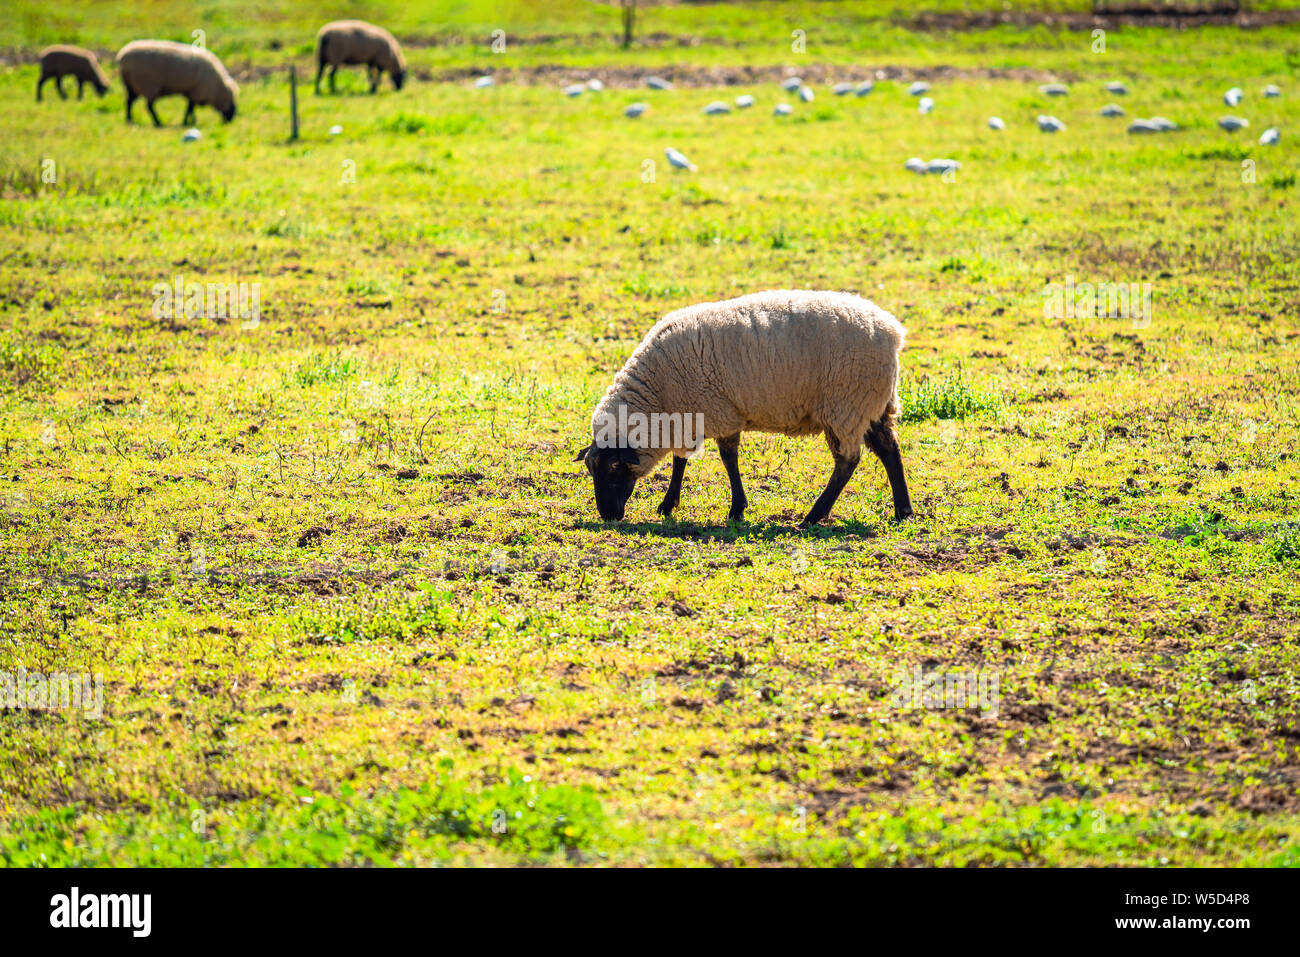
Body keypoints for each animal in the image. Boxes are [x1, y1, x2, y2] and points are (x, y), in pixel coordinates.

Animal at [574, 290, 913, 527]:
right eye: (590, 469)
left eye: (614, 467)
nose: (608, 515)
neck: (658, 394)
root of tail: (892, 332)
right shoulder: (688, 415)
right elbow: (680, 460)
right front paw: (668, 504)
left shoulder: (720, 412)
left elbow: (727, 459)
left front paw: (737, 509)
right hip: (871, 405)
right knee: (888, 449)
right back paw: (903, 510)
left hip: (846, 405)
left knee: (847, 462)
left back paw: (813, 516)